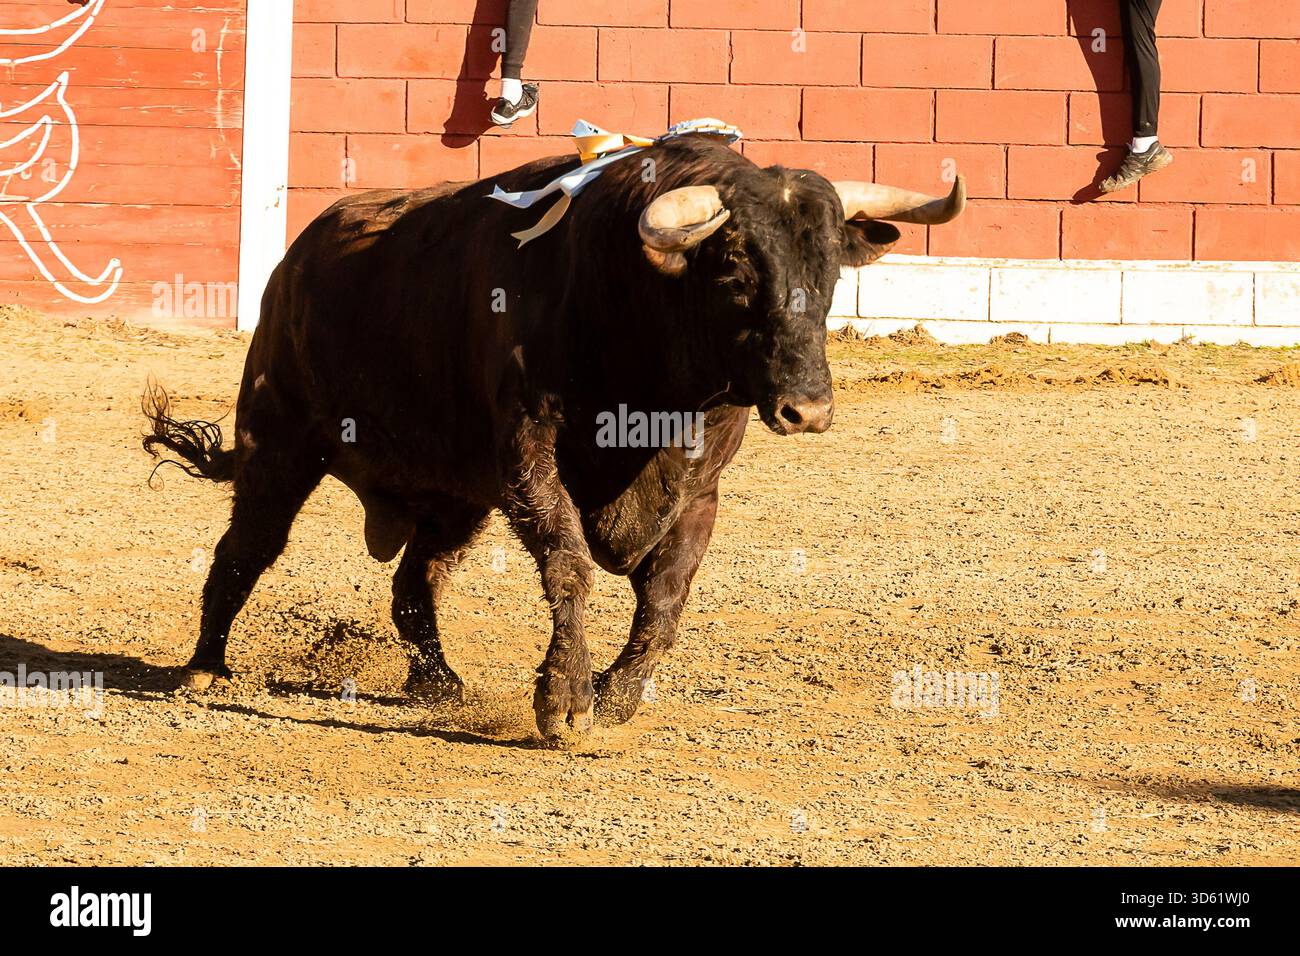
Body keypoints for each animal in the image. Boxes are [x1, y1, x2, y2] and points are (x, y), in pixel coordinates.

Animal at [144, 131, 965, 743]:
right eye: (736, 266)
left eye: (830, 268)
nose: (807, 409)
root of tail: (297, 257)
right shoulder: (528, 454)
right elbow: (569, 561)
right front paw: (565, 699)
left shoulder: (701, 488)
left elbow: (667, 596)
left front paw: (616, 696)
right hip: (280, 440)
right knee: (246, 549)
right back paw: (204, 669)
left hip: (453, 495)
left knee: (415, 582)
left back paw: (437, 684)